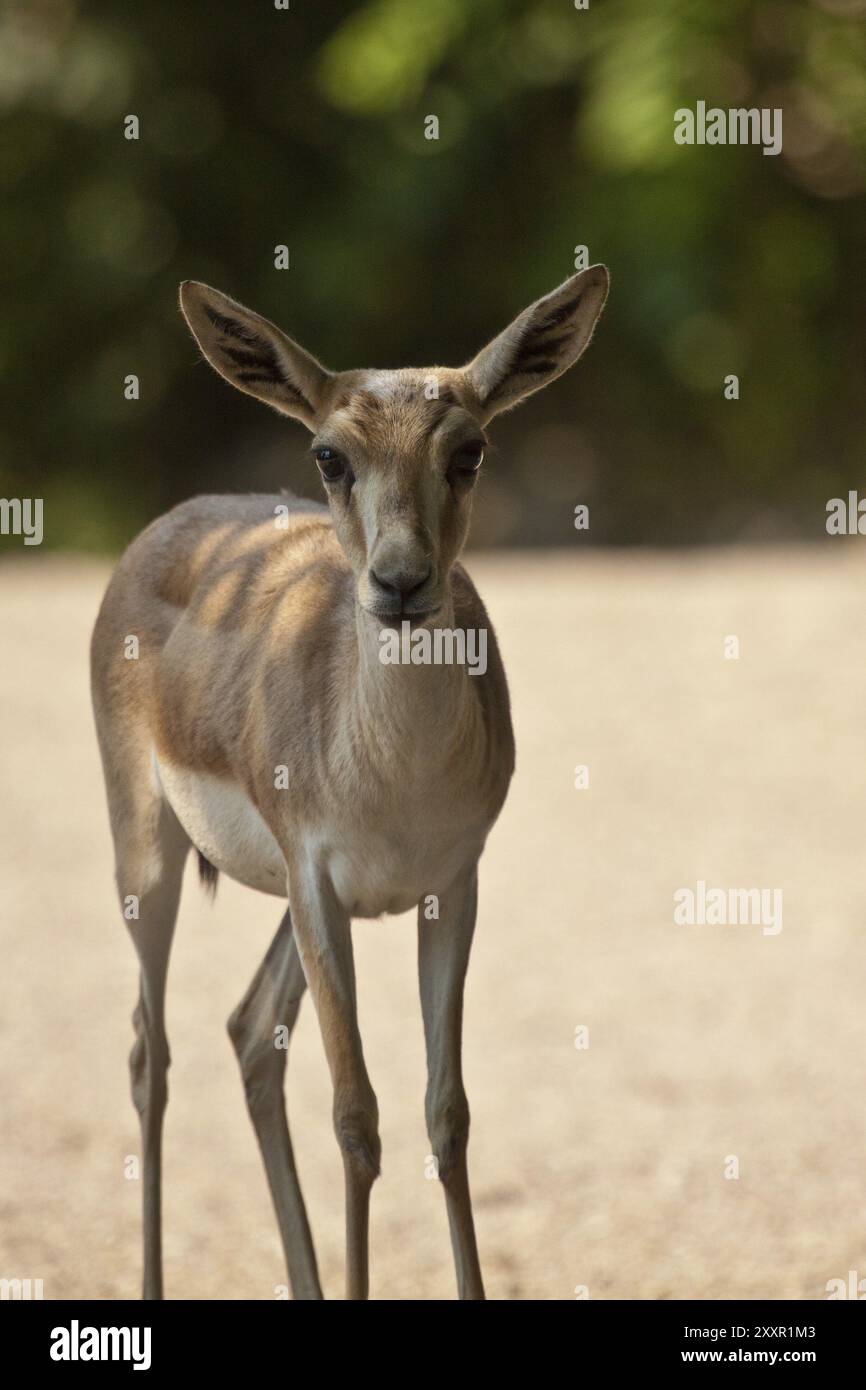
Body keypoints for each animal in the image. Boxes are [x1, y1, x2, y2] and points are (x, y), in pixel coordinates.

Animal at [90, 264, 609, 1301]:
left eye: (469, 450)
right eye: (330, 456)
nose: (400, 583)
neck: (394, 772)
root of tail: (169, 525)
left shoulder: (448, 886)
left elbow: (446, 1114)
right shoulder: (319, 882)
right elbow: (355, 1116)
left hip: (291, 908)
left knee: (251, 1034)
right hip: (151, 858)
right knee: (148, 1053)